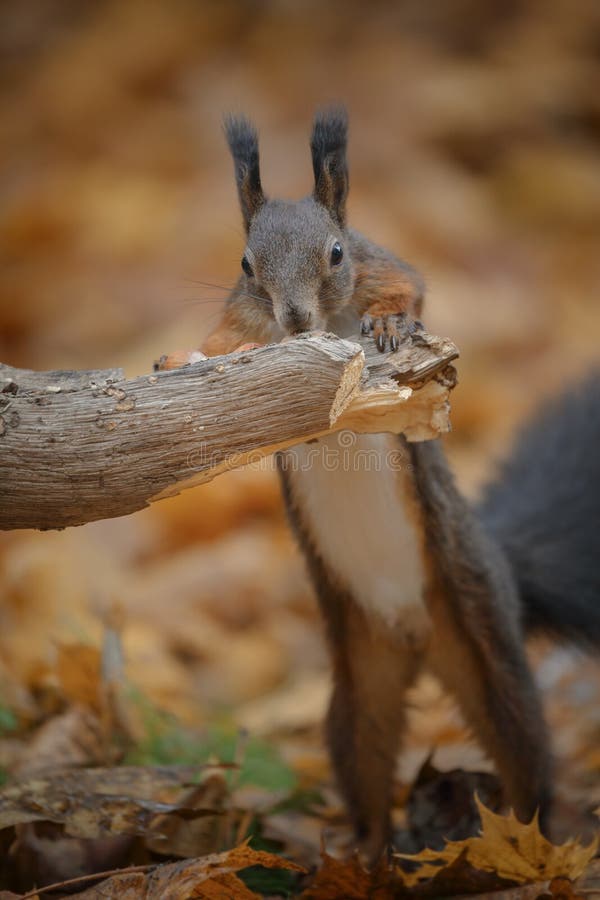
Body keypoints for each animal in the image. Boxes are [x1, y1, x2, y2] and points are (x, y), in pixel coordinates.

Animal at [163, 107, 600, 862]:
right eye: (246, 264)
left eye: (339, 253)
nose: (294, 319)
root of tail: (414, 640)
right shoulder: (241, 311)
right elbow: (221, 339)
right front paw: (188, 356)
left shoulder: (385, 265)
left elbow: (409, 283)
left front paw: (392, 319)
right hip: (358, 690)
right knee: (364, 763)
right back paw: (366, 852)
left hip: (487, 650)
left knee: (526, 755)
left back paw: (529, 846)